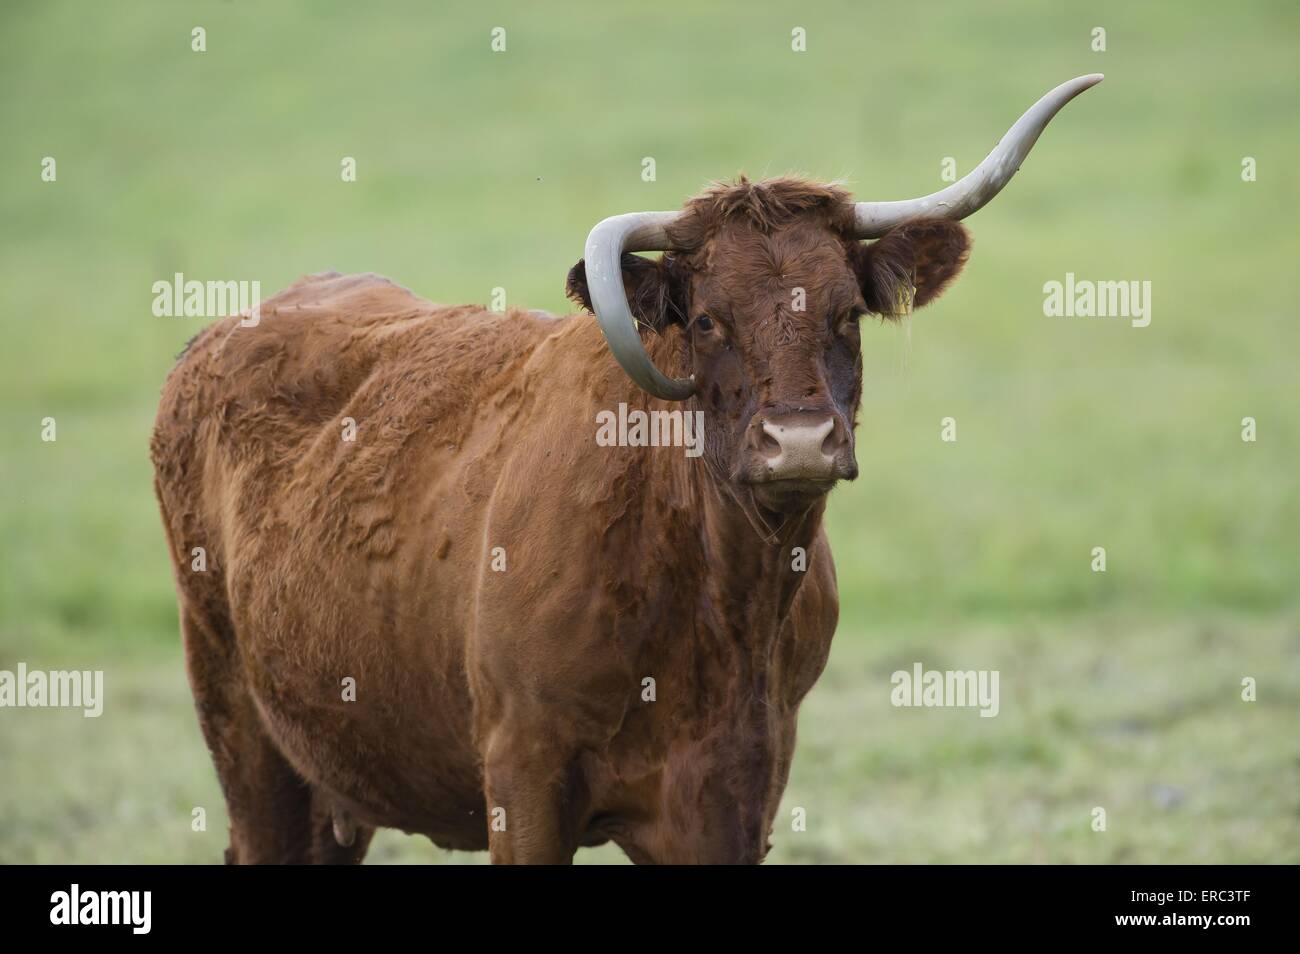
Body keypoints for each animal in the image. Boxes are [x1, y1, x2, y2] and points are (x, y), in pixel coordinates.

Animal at [150, 76, 1101, 864]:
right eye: (709, 318)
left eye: (845, 313)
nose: (798, 442)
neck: (717, 597)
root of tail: (222, 334)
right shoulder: (524, 777)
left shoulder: (737, 790)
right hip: (242, 728)